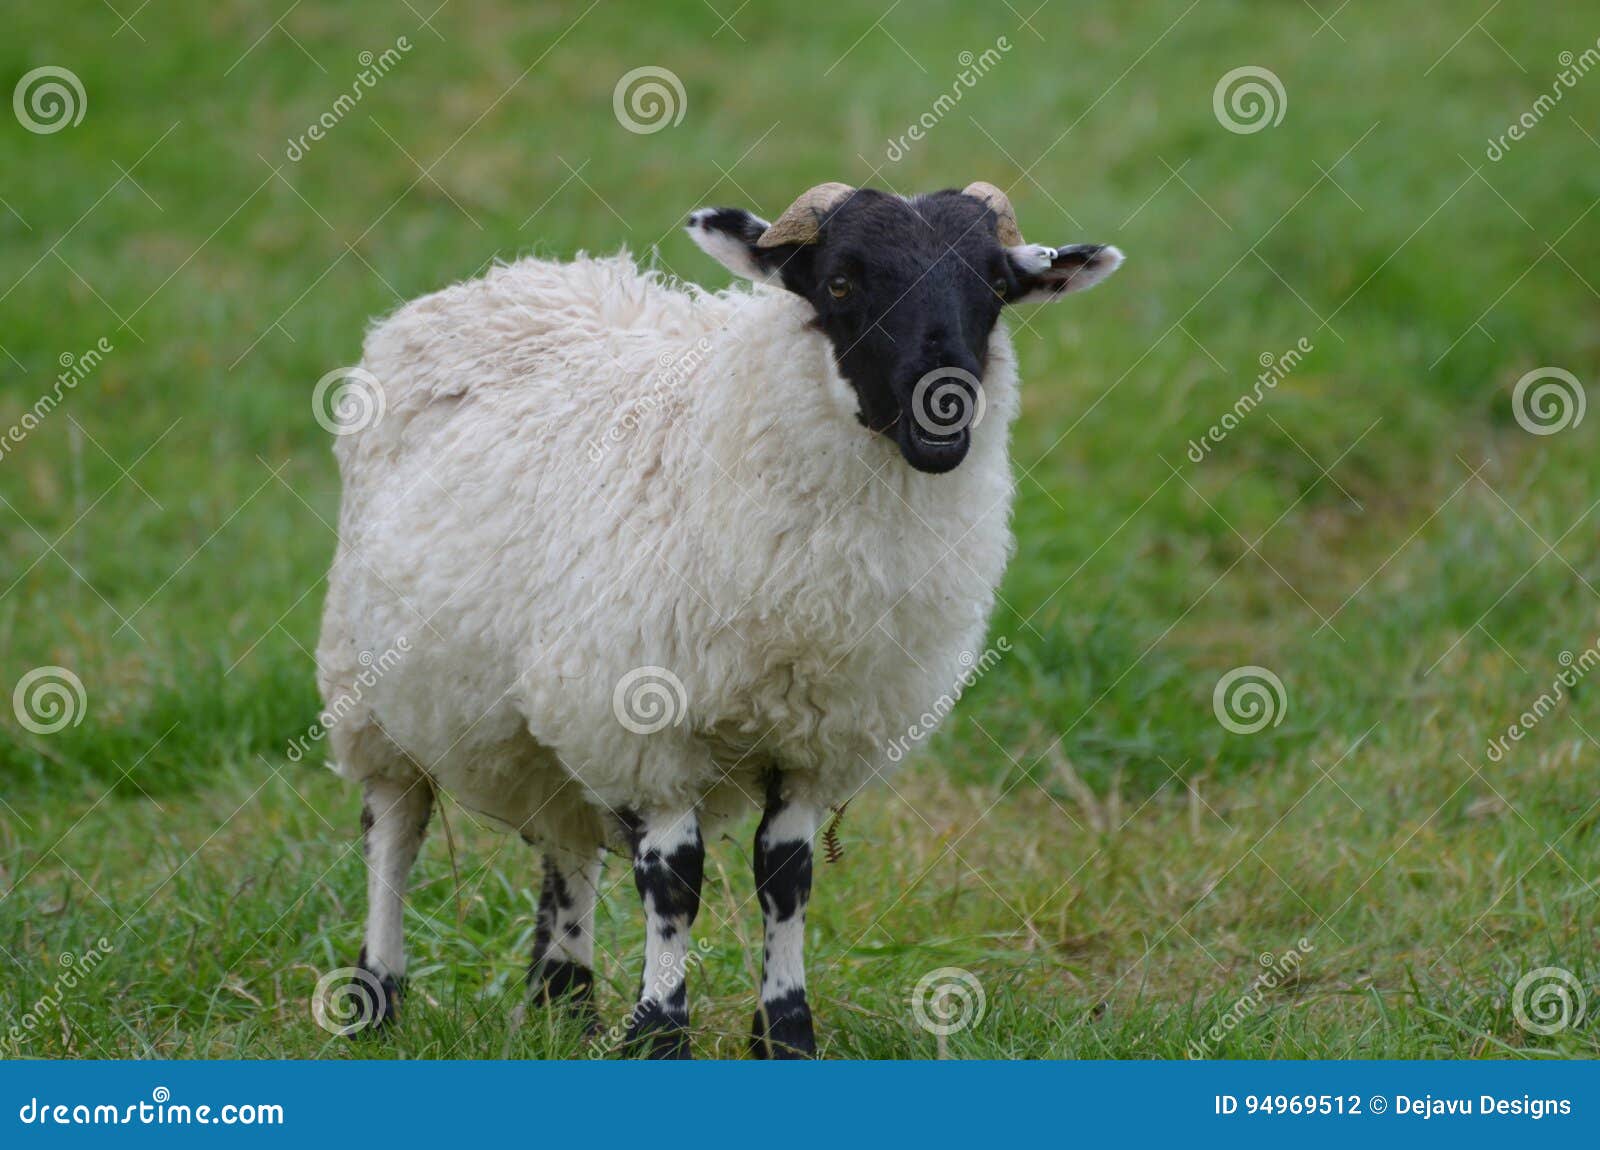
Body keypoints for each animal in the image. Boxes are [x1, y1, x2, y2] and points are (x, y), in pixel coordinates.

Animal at [314, 181, 1123, 1057]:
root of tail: (507, 278)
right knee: (394, 829)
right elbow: (676, 885)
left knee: (568, 843)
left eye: (995, 289)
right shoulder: (645, 728)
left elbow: (786, 876)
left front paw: (786, 1033)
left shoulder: (813, 742)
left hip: (551, 715)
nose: (943, 414)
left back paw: (564, 1004)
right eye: (841, 283)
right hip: (370, 685)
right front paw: (661, 1034)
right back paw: (378, 996)